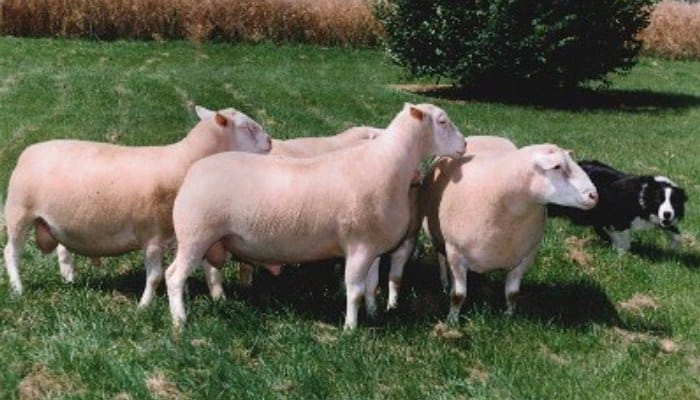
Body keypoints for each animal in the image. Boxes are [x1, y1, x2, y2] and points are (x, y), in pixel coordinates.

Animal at [3, 106, 272, 307]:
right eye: (248, 127)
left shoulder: (184, 233)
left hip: (55, 221)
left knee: (62, 251)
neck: (186, 160)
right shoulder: (152, 235)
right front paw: (144, 306)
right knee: (11, 252)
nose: (270, 141)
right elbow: (154, 277)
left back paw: (69, 279)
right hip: (18, 213)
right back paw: (17, 289)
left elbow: (199, 270)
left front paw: (198, 297)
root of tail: (27, 151)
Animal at [164, 103, 467, 330]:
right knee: (173, 276)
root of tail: (194, 170)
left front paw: (372, 314)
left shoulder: (371, 247)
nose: (464, 144)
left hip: (207, 238)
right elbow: (354, 290)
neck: (389, 164)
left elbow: (370, 287)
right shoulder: (358, 246)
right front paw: (350, 328)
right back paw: (180, 321)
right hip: (195, 234)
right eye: (442, 121)